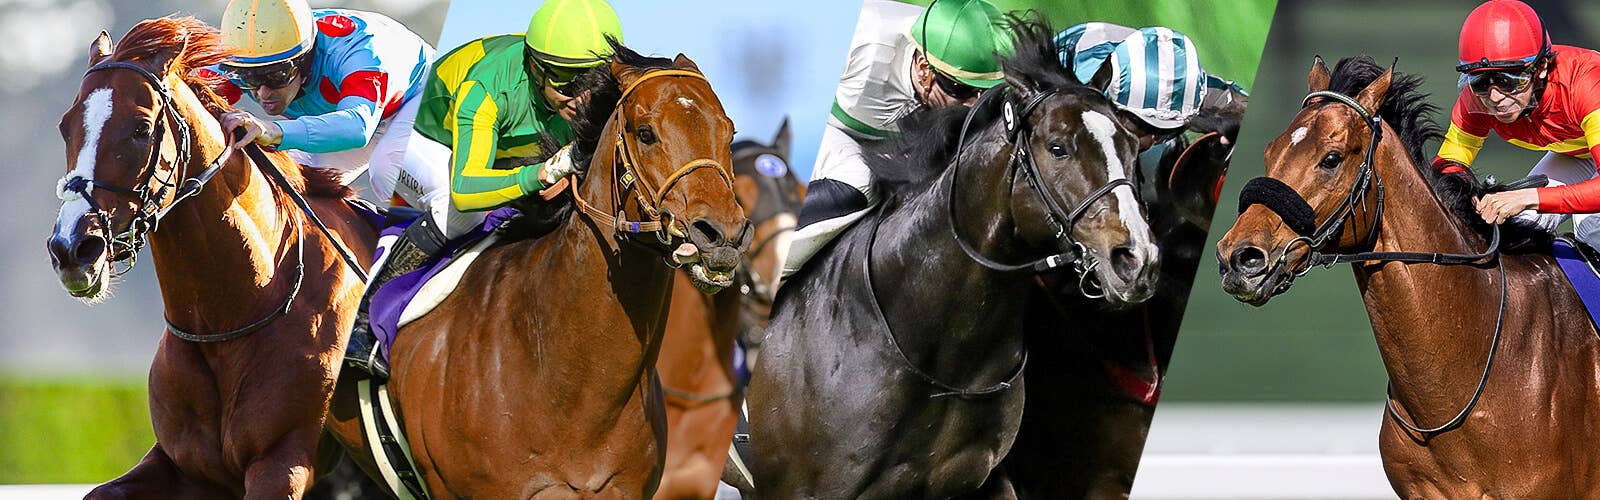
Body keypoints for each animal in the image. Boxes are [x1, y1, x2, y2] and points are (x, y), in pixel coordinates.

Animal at [47, 17, 375, 498]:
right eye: (66, 126)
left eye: (141, 128)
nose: (72, 248)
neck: (230, 314)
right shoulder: (184, 463)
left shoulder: (281, 461)